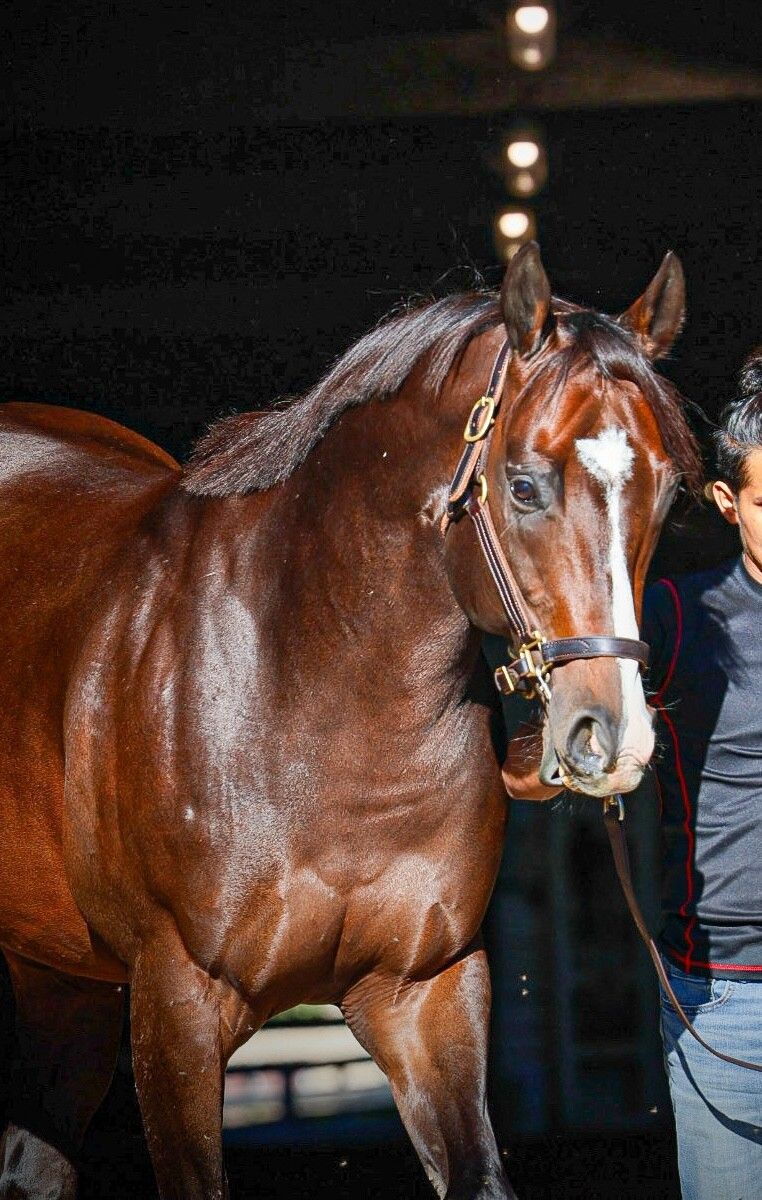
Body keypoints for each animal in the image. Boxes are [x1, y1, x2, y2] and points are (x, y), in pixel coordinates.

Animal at [0, 242, 700, 1200]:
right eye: (523, 486)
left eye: (667, 494)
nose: (612, 737)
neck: (313, 696)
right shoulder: (175, 1006)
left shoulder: (425, 993)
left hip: (59, 982)